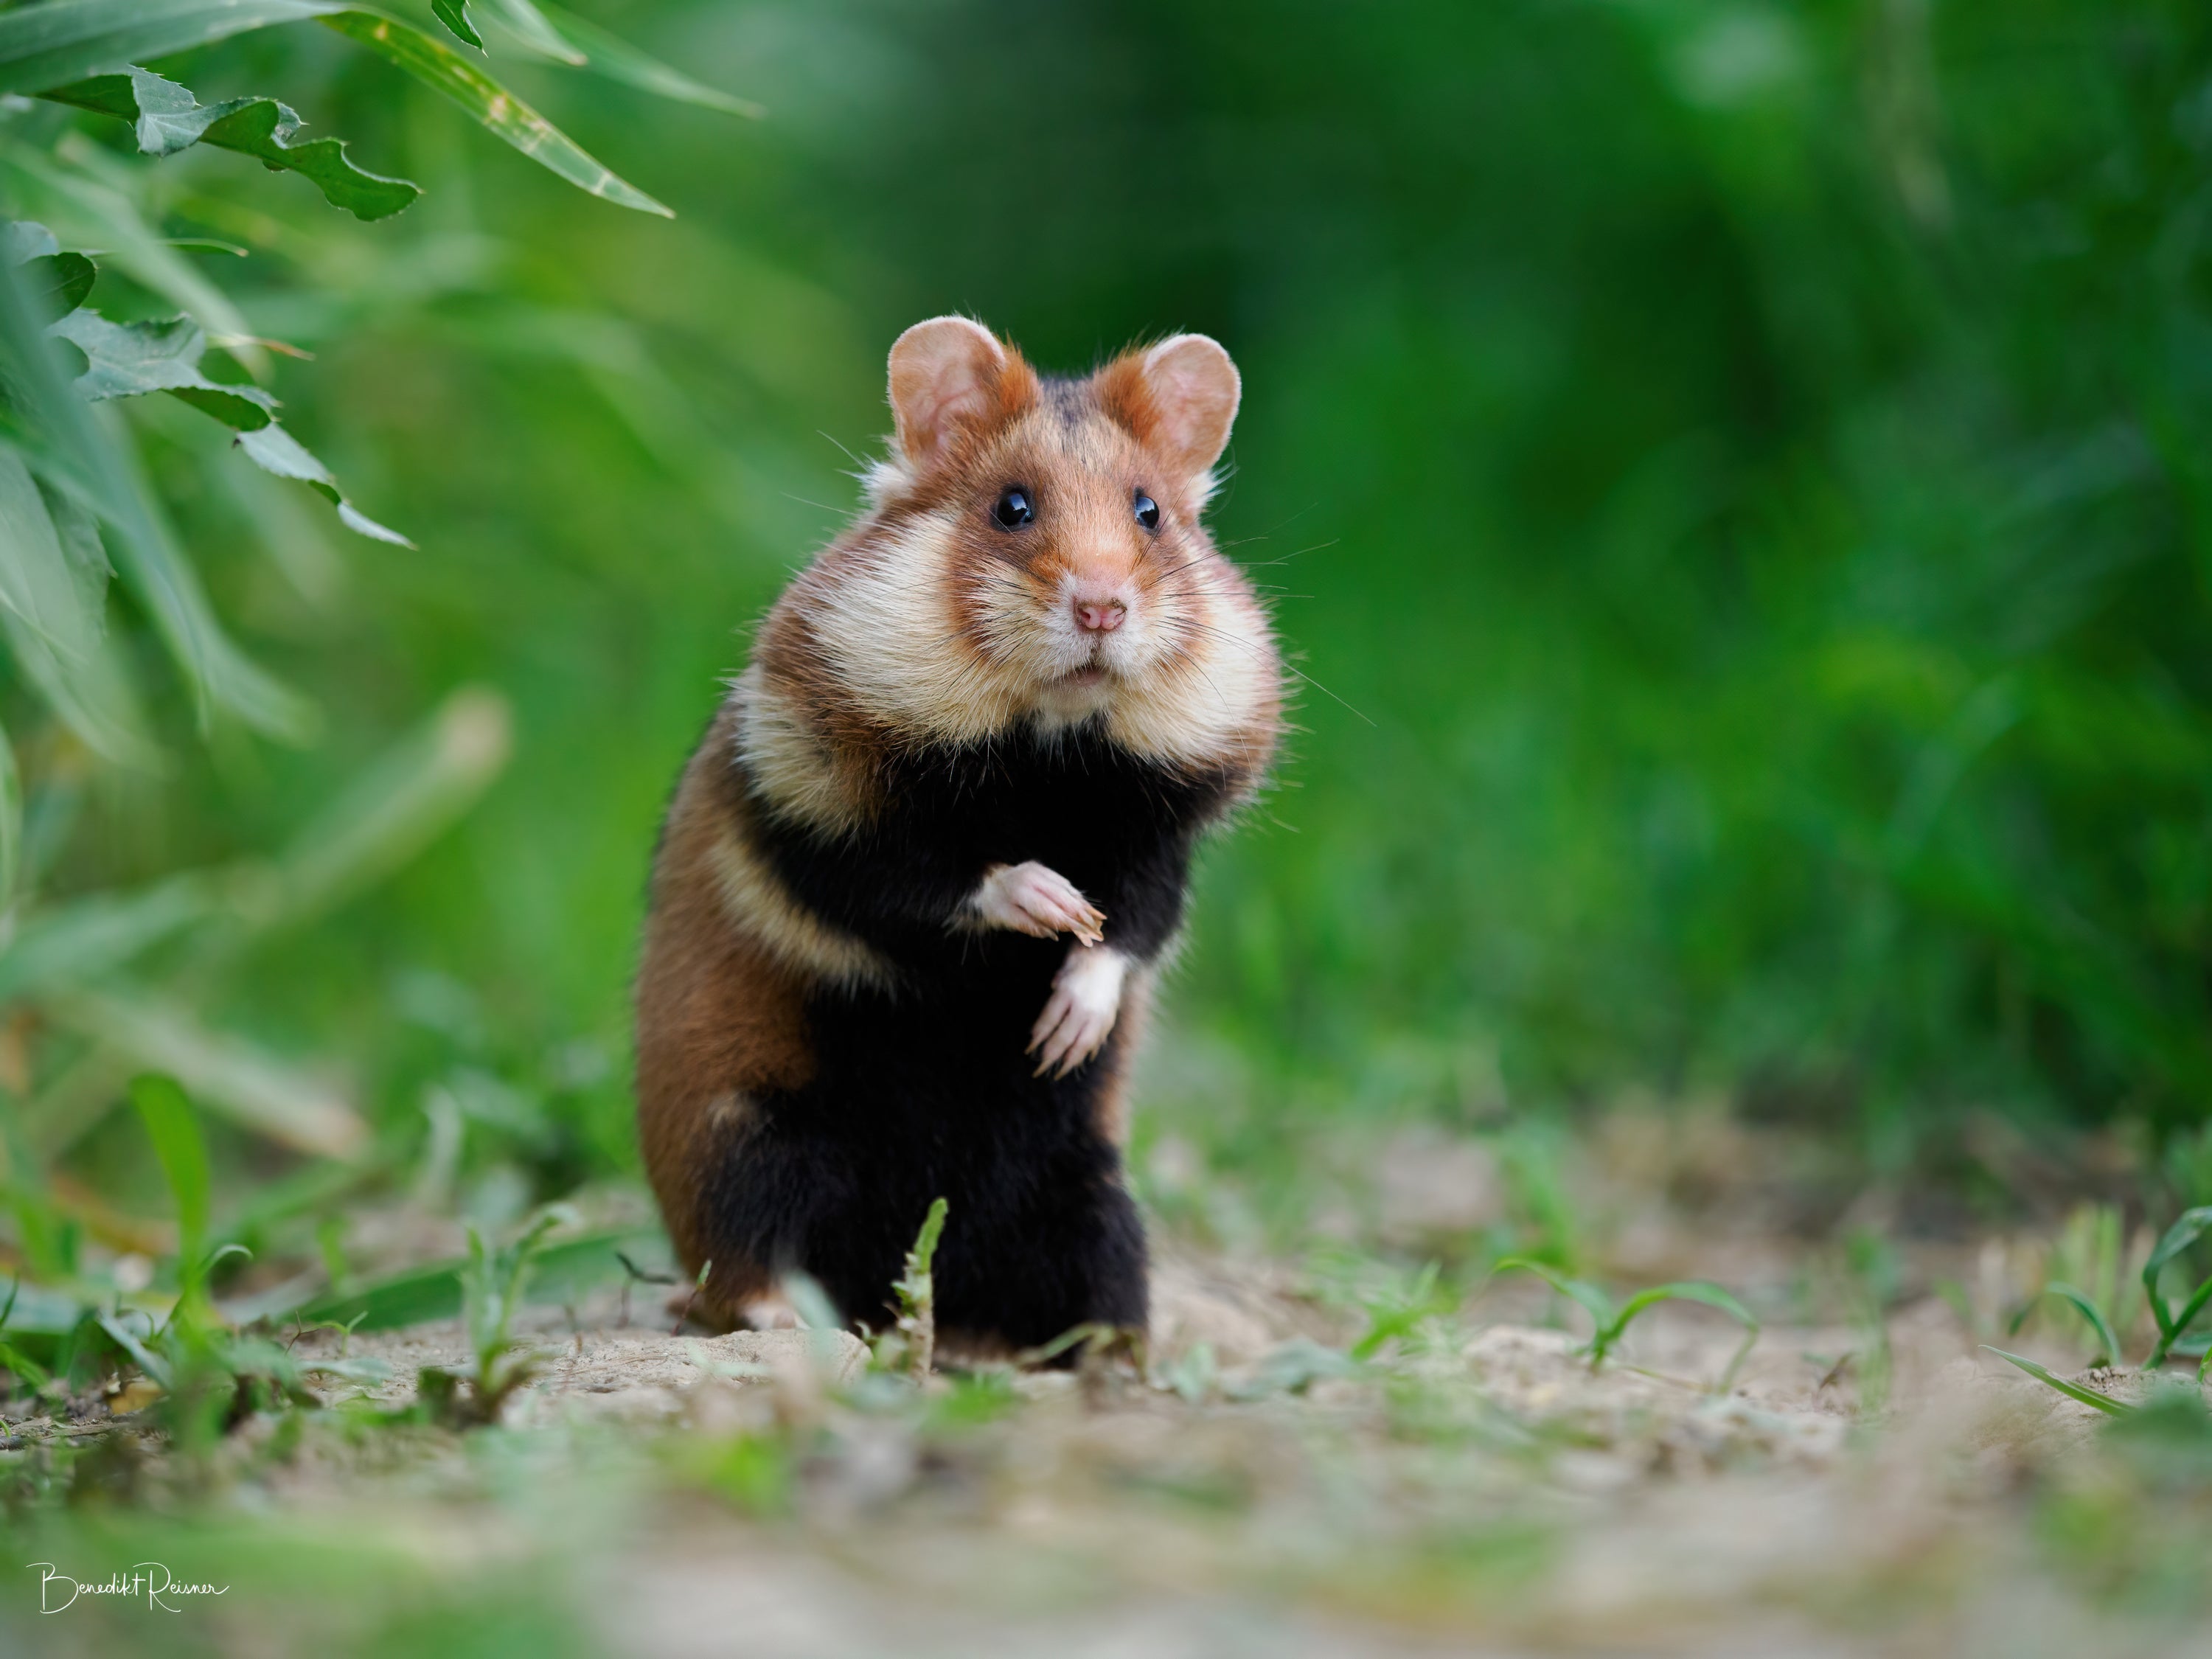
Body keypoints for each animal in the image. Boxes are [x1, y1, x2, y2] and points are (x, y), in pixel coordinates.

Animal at [634, 317, 1283, 1356]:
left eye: (1150, 513)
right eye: (1012, 508)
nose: (1102, 608)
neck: (1049, 747)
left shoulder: (1162, 844)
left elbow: (1133, 929)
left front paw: (1063, 1028)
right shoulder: (806, 800)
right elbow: (919, 877)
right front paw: (1050, 900)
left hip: (1090, 1195)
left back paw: (1097, 1353)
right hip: (747, 1138)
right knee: (742, 1264)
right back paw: (798, 1322)